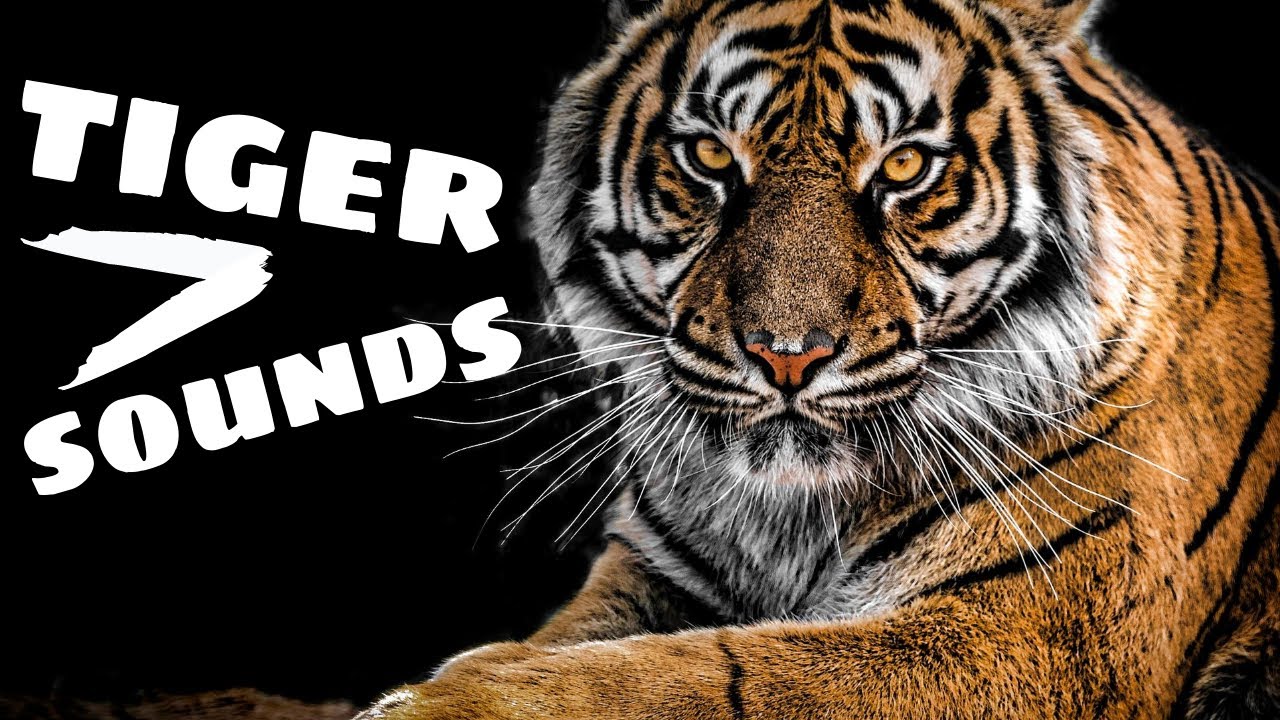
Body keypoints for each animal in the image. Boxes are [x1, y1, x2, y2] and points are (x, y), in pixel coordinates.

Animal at [356, 0, 1279, 718]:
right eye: (711, 156)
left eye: (904, 164)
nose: (787, 356)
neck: (791, 515)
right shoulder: (652, 570)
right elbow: (584, 644)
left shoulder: (1029, 632)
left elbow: (705, 676)